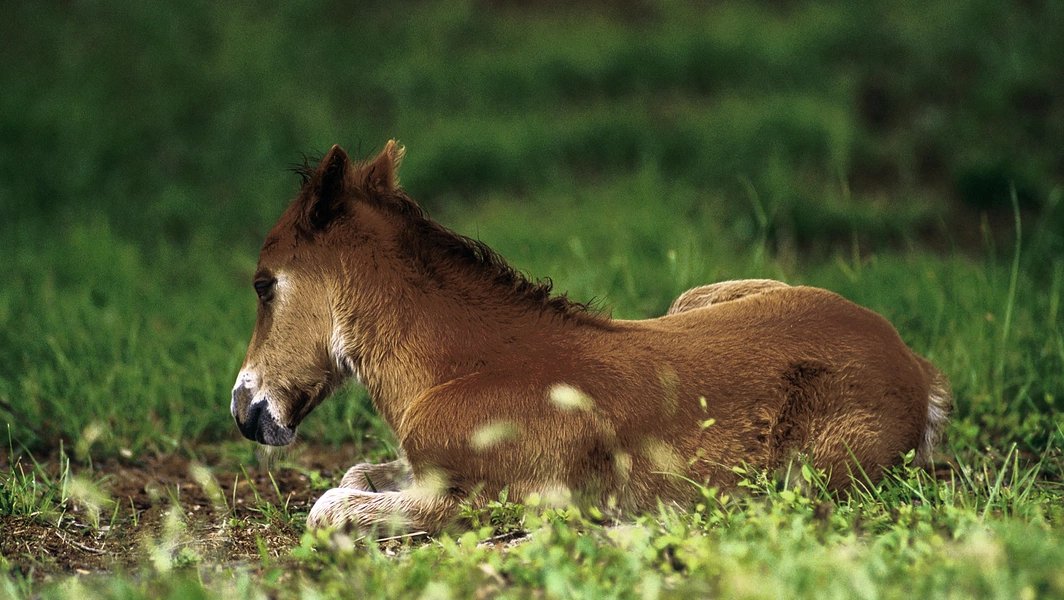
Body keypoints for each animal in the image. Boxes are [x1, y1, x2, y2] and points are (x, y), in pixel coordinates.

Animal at [230, 141, 952, 534]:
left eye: (264, 284)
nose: (244, 410)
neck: (461, 368)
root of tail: (913, 363)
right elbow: (356, 474)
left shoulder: (502, 498)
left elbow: (331, 506)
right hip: (698, 298)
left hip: (809, 478)